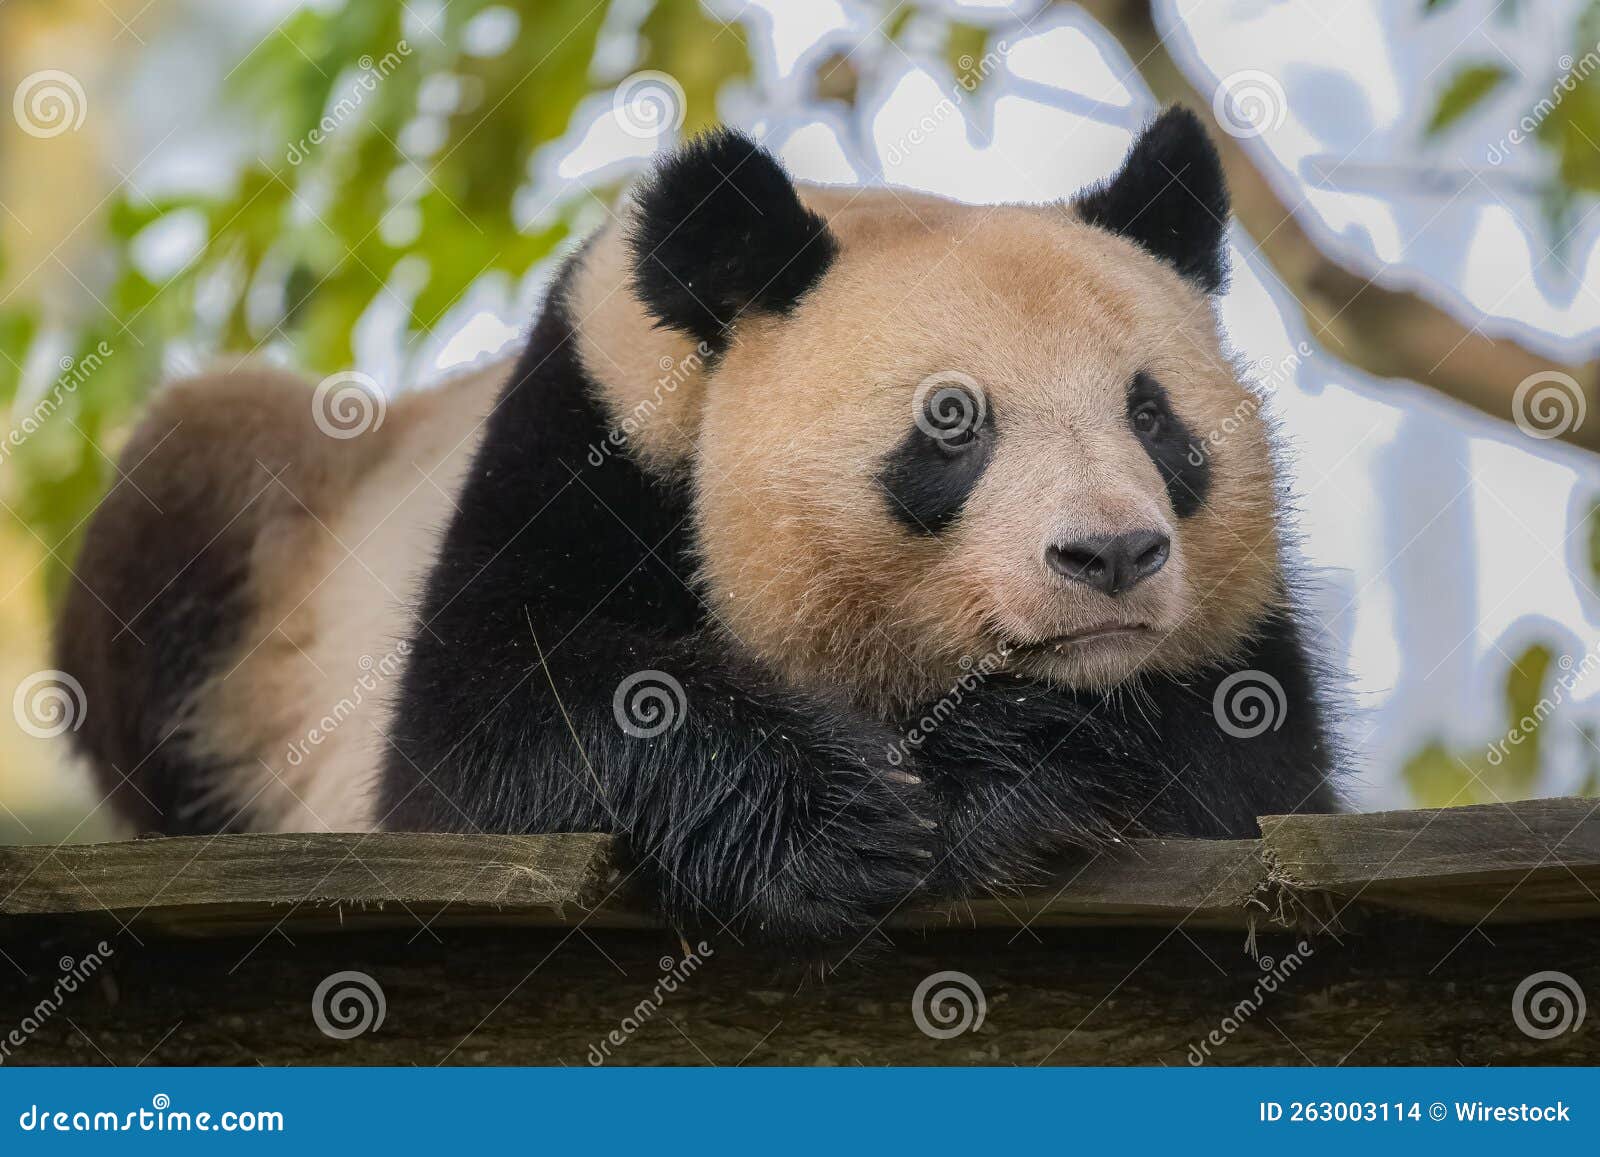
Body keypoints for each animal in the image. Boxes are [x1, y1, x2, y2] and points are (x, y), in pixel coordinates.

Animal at [57, 107, 1338, 949]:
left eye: (1152, 415)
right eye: (952, 424)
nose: (1110, 554)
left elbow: (1241, 759)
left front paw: (1009, 764)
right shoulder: (584, 431)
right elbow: (480, 735)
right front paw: (873, 812)